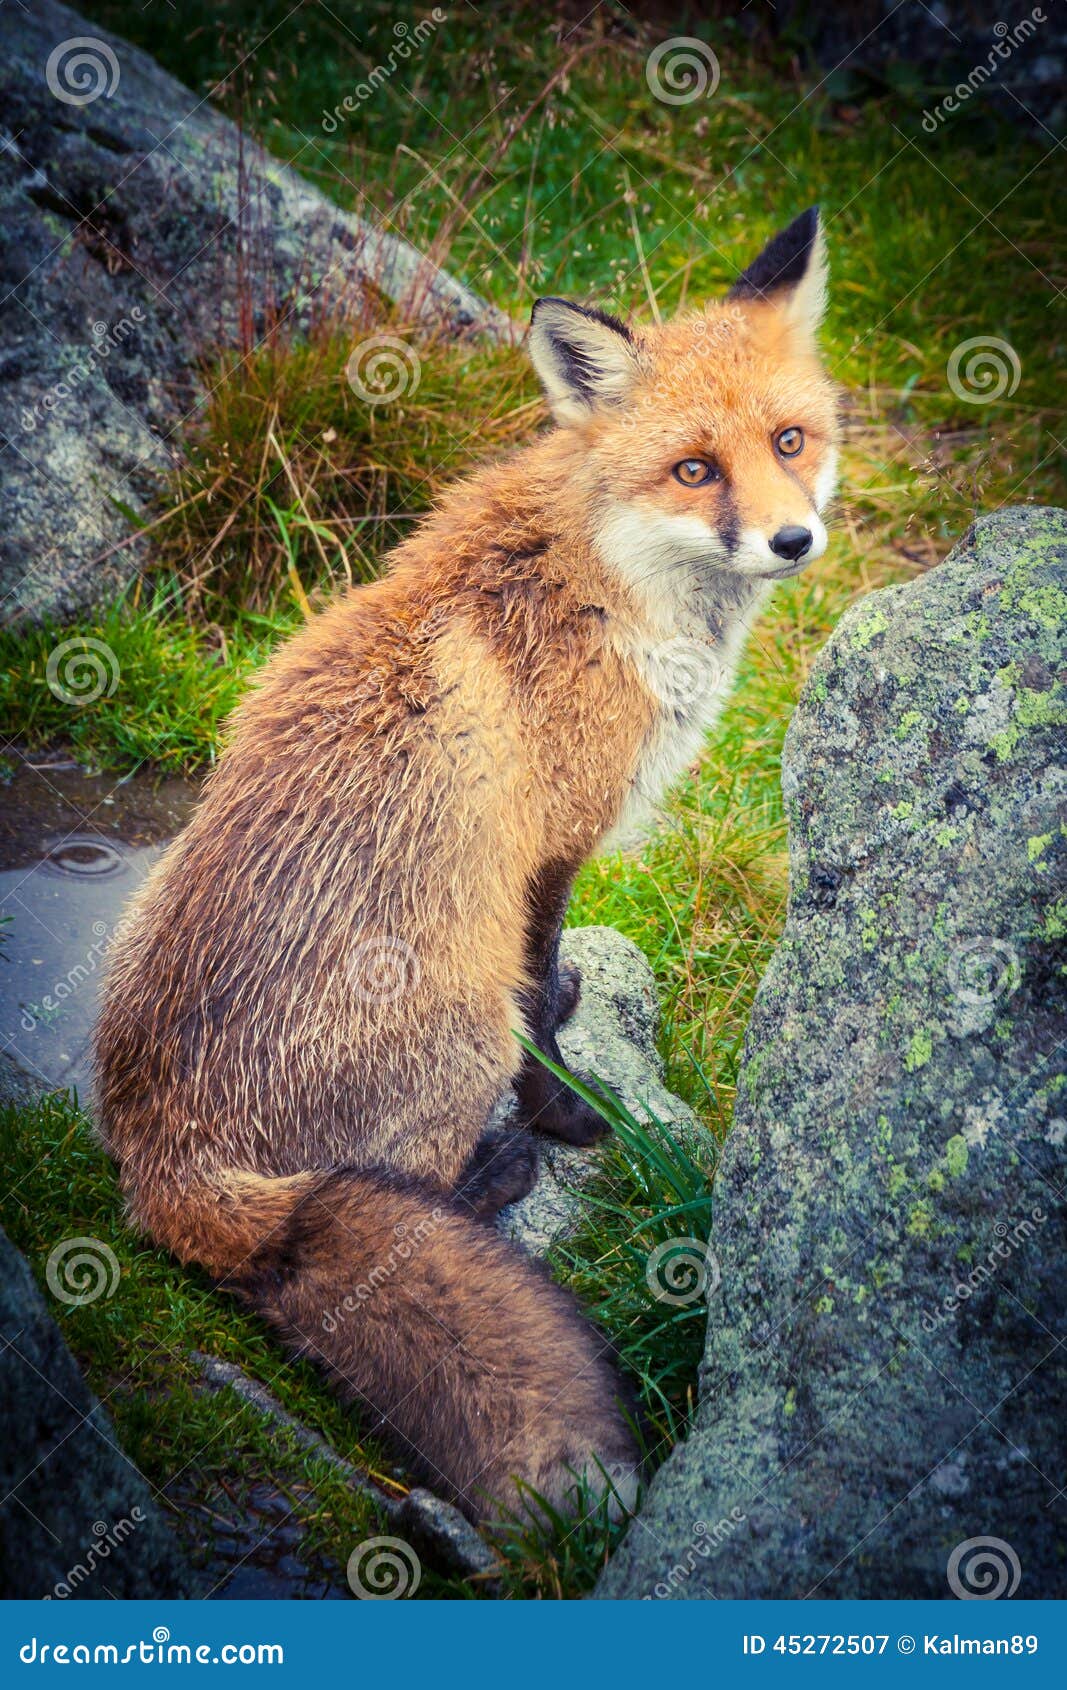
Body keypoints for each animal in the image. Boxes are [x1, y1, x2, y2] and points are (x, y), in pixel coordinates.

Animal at [94, 208, 839, 1526]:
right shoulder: (545, 850)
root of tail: (164, 1168)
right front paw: (566, 1115)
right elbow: (538, 1003)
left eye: (788, 441)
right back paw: (487, 1177)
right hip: (455, 1018)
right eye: (692, 469)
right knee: (396, 1189)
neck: (604, 579)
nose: (793, 539)